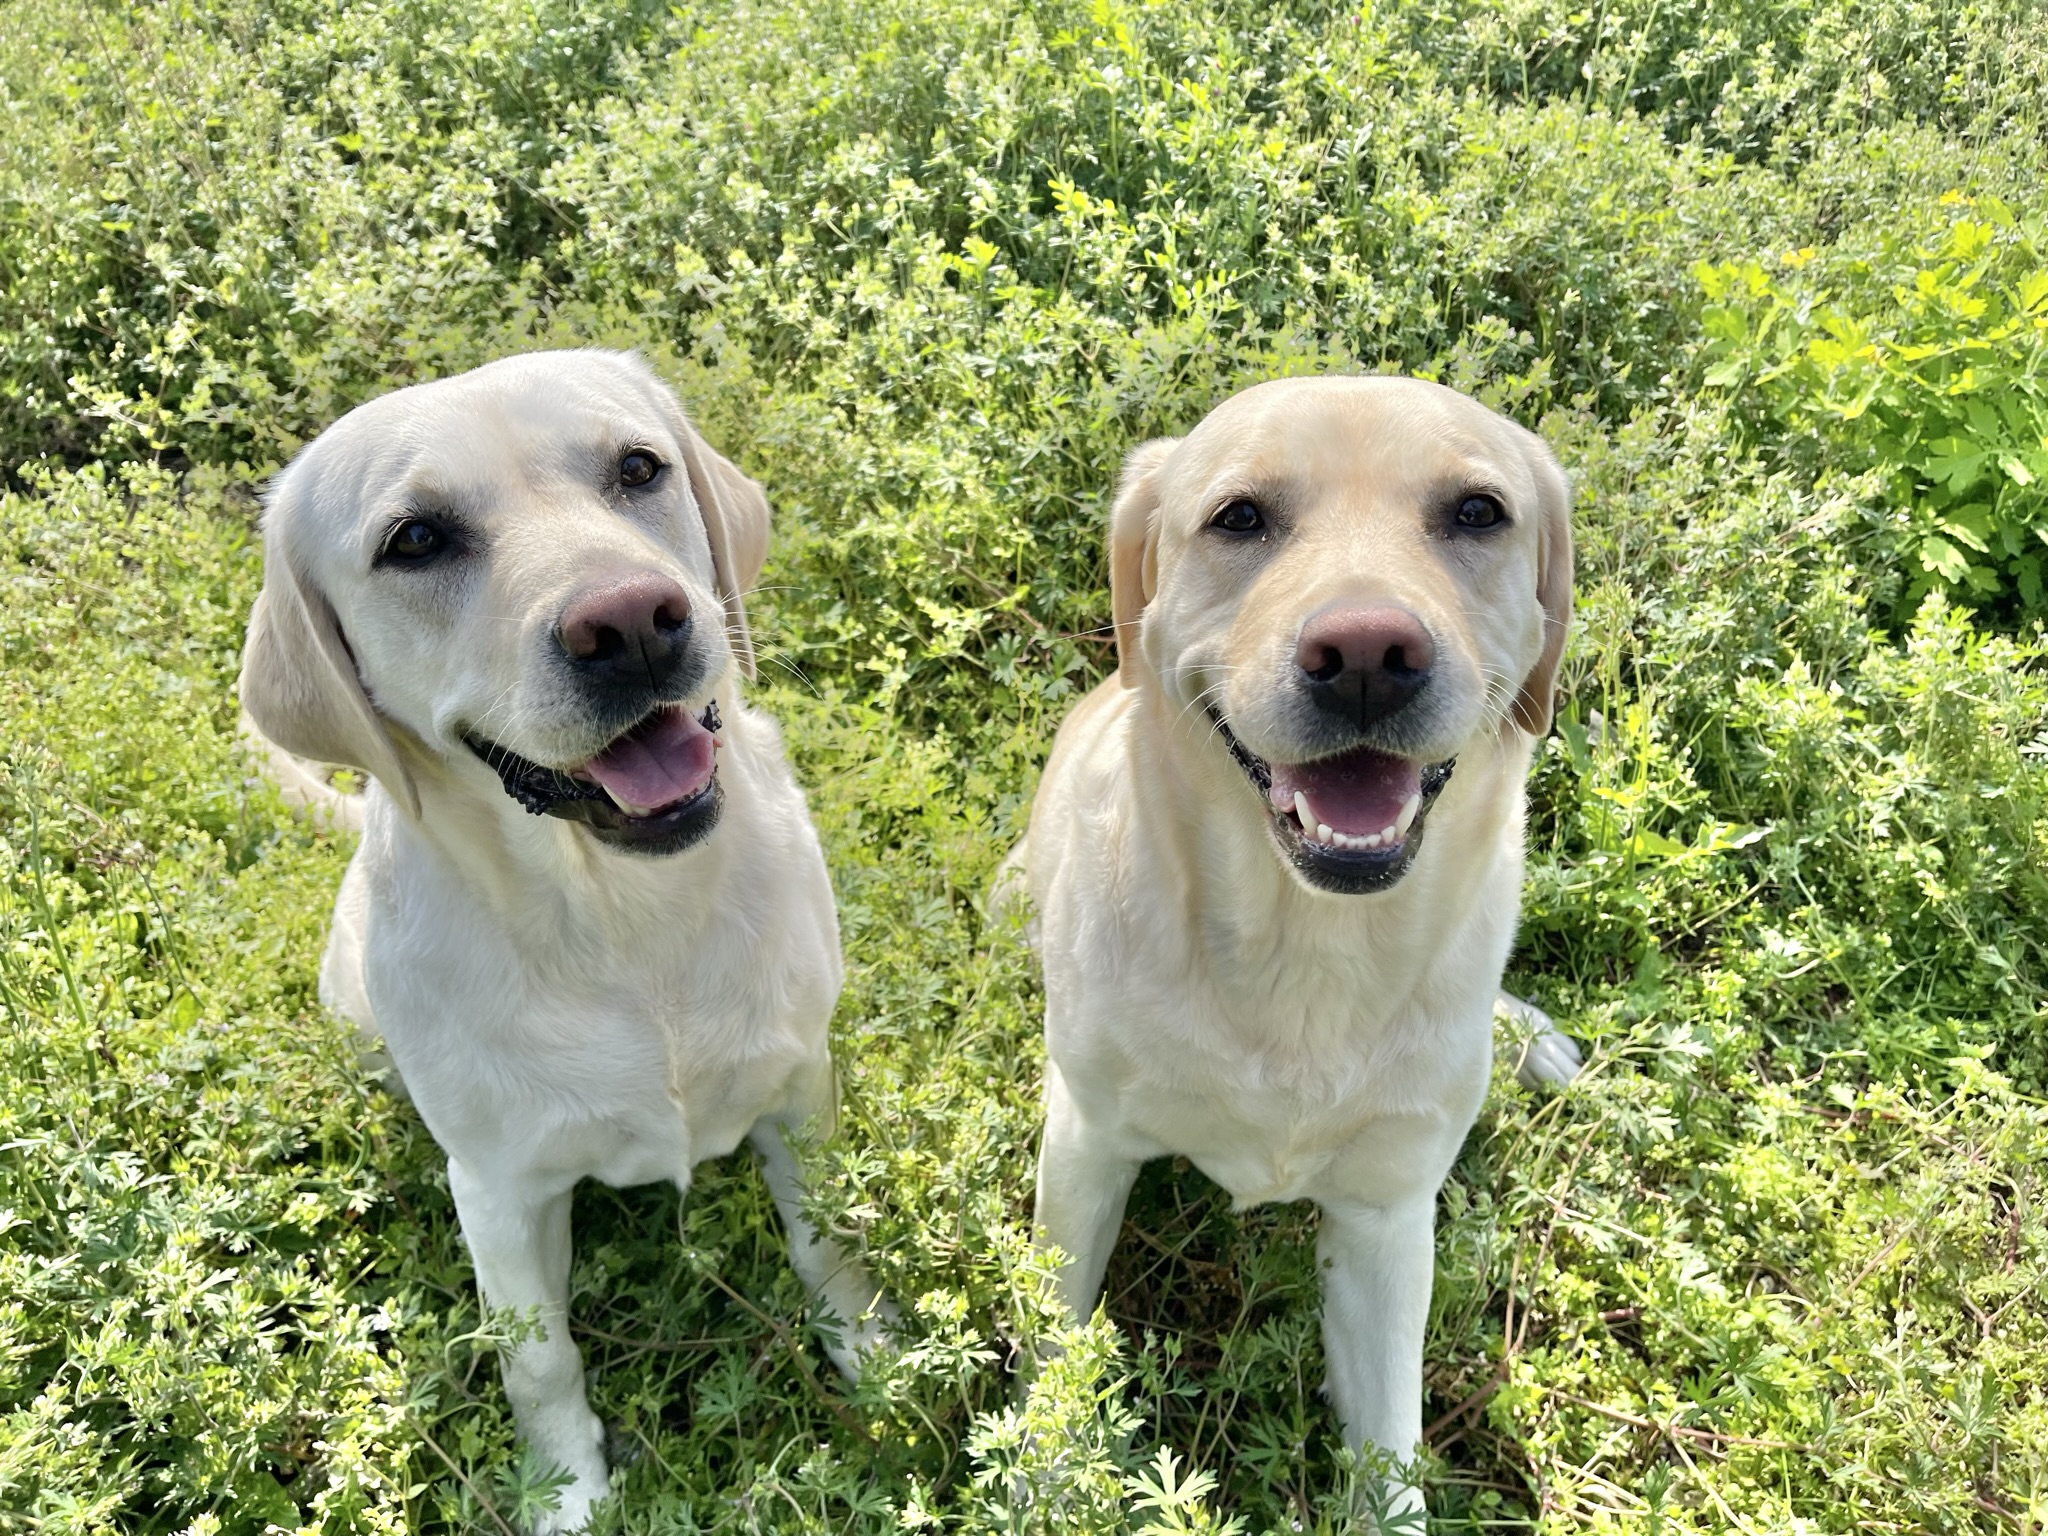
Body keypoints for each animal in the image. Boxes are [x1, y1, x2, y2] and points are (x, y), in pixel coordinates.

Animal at [1024, 376, 1581, 1531]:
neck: (1309, 945)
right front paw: (1042, 1480)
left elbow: (1391, 1465)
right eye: (1238, 517)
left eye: (1478, 513)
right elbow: (1054, 1368)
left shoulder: (1385, 1222)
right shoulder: (1085, 1147)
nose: (1367, 655)